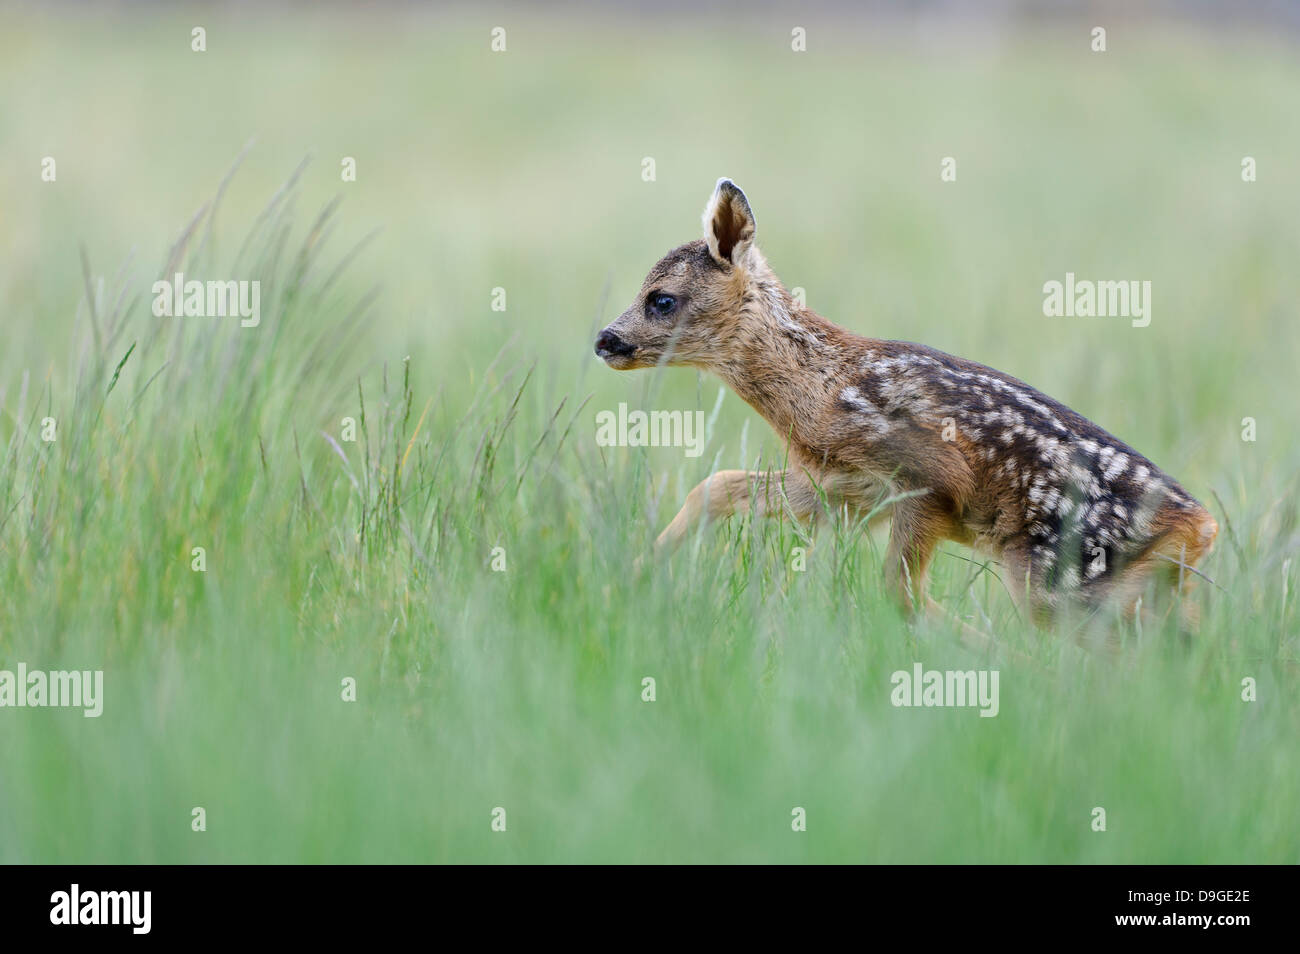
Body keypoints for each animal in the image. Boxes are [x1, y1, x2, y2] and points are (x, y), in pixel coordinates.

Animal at [594, 178, 1217, 636]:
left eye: (661, 299)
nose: (604, 340)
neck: (821, 390)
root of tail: (1200, 525)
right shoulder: (844, 488)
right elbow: (716, 485)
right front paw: (631, 577)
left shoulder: (928, 479)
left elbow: (899, 594)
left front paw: (998, 657)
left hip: (1056, 574)